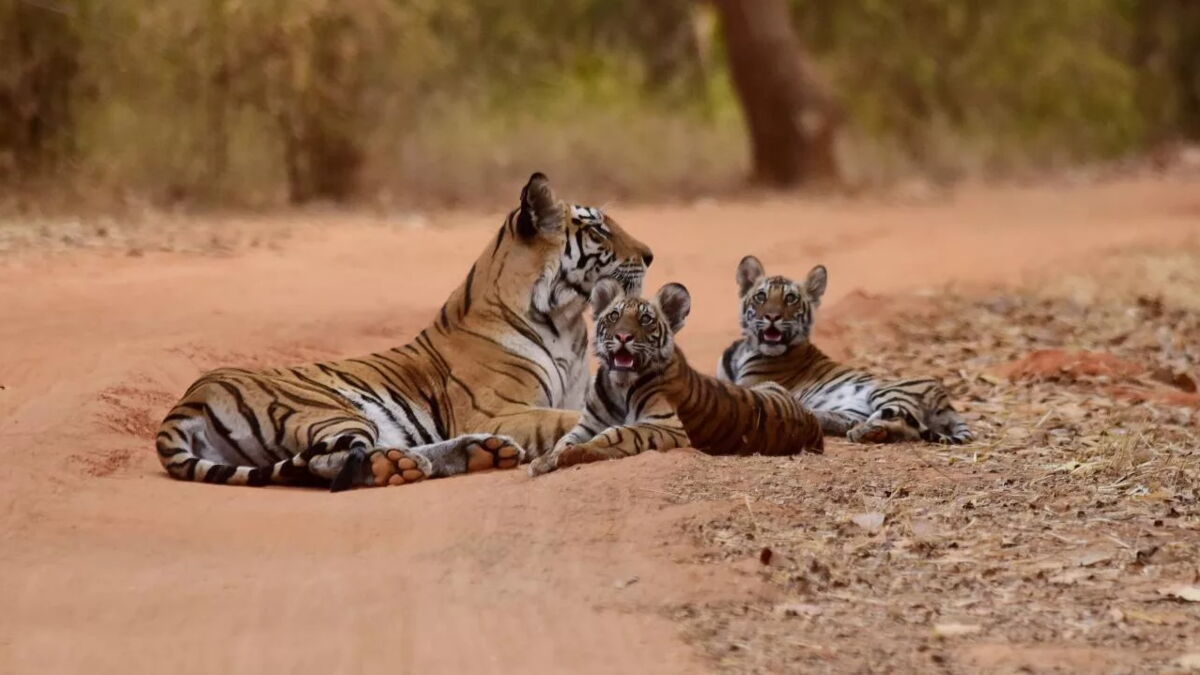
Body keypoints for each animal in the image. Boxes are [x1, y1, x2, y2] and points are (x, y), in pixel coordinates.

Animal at [155, 173, 654, 491]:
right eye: (598, 230)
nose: (649, 255)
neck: (567, 321)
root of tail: (187, 401)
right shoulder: (499, 410)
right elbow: (566, 420)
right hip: (329, 410)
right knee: (327, 462)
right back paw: (404, 466)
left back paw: (481, 454)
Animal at [528, 278, 823, 476]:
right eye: (614, 316)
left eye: (645, 320)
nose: (623, 336)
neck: (619, 385)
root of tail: (811, 420)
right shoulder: (588, 423)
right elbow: (564, 439)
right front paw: (545, 460)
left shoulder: (666, 425)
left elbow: (617, 433)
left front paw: (575, 454)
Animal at [717, 255, 973, 445]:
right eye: (761, 296)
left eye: (790, 298)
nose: (772, 316)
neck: (746, 349)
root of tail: (946, 401)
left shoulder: (751, 385)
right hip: (854, 408)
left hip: (886, 392)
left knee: (903, 425)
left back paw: (863, 432)